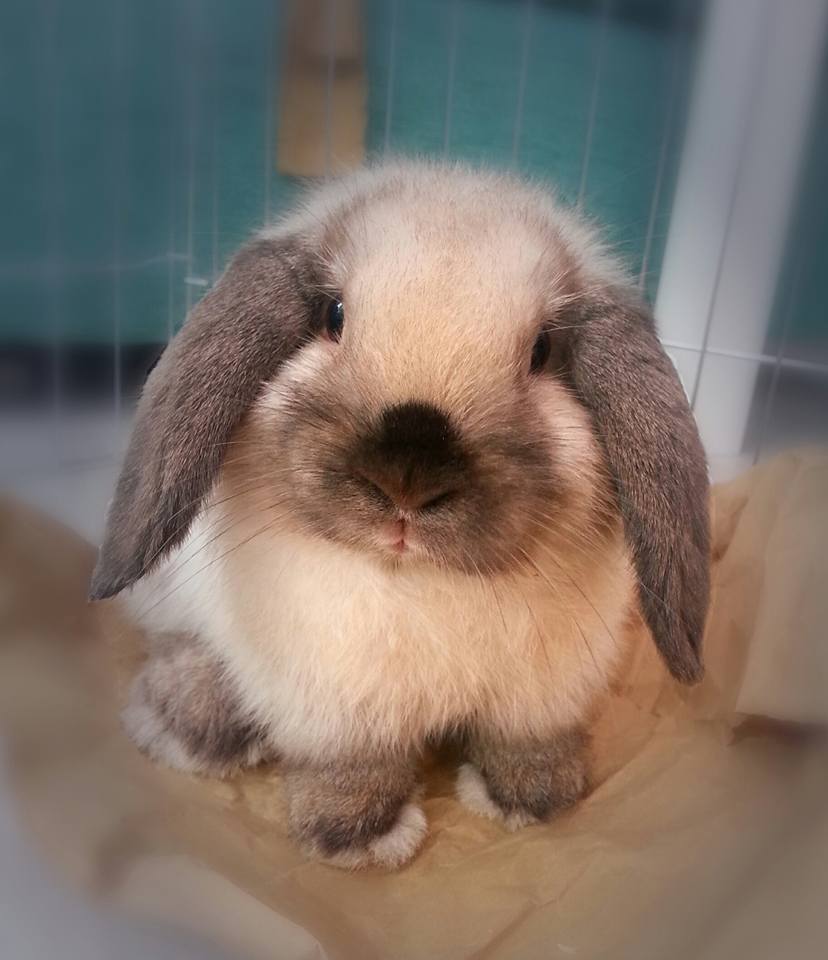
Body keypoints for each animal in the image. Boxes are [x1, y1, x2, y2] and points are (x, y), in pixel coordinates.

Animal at [90, 160, 710, 870]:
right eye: (332, 315)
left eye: (543, 351)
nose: (408, 477)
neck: (421, 582)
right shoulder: (338, 707)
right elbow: (352, 770)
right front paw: (359, 839)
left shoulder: (540, 696)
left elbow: (524, 744)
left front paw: (534, 799)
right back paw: (189, 724)